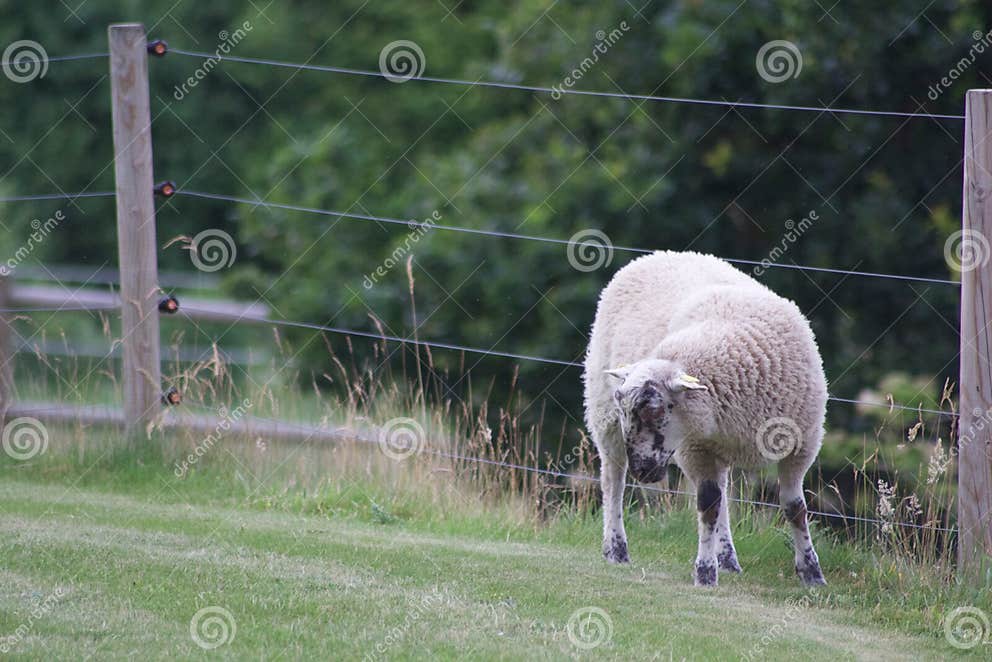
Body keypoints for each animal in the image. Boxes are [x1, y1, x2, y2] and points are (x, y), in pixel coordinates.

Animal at [583, 250, 828, 587]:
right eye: (628, 412)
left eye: (654, 409)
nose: (642, 472)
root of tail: (657, 254)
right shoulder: (694, 448)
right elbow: (707, 505)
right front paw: (704, 571)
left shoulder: (801, 446)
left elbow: (795, 508)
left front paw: (811, 572)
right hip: (603, 413)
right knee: (612, 481)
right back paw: (616, 548)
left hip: (719, 447)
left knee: (722, 493)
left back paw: (728, 558)